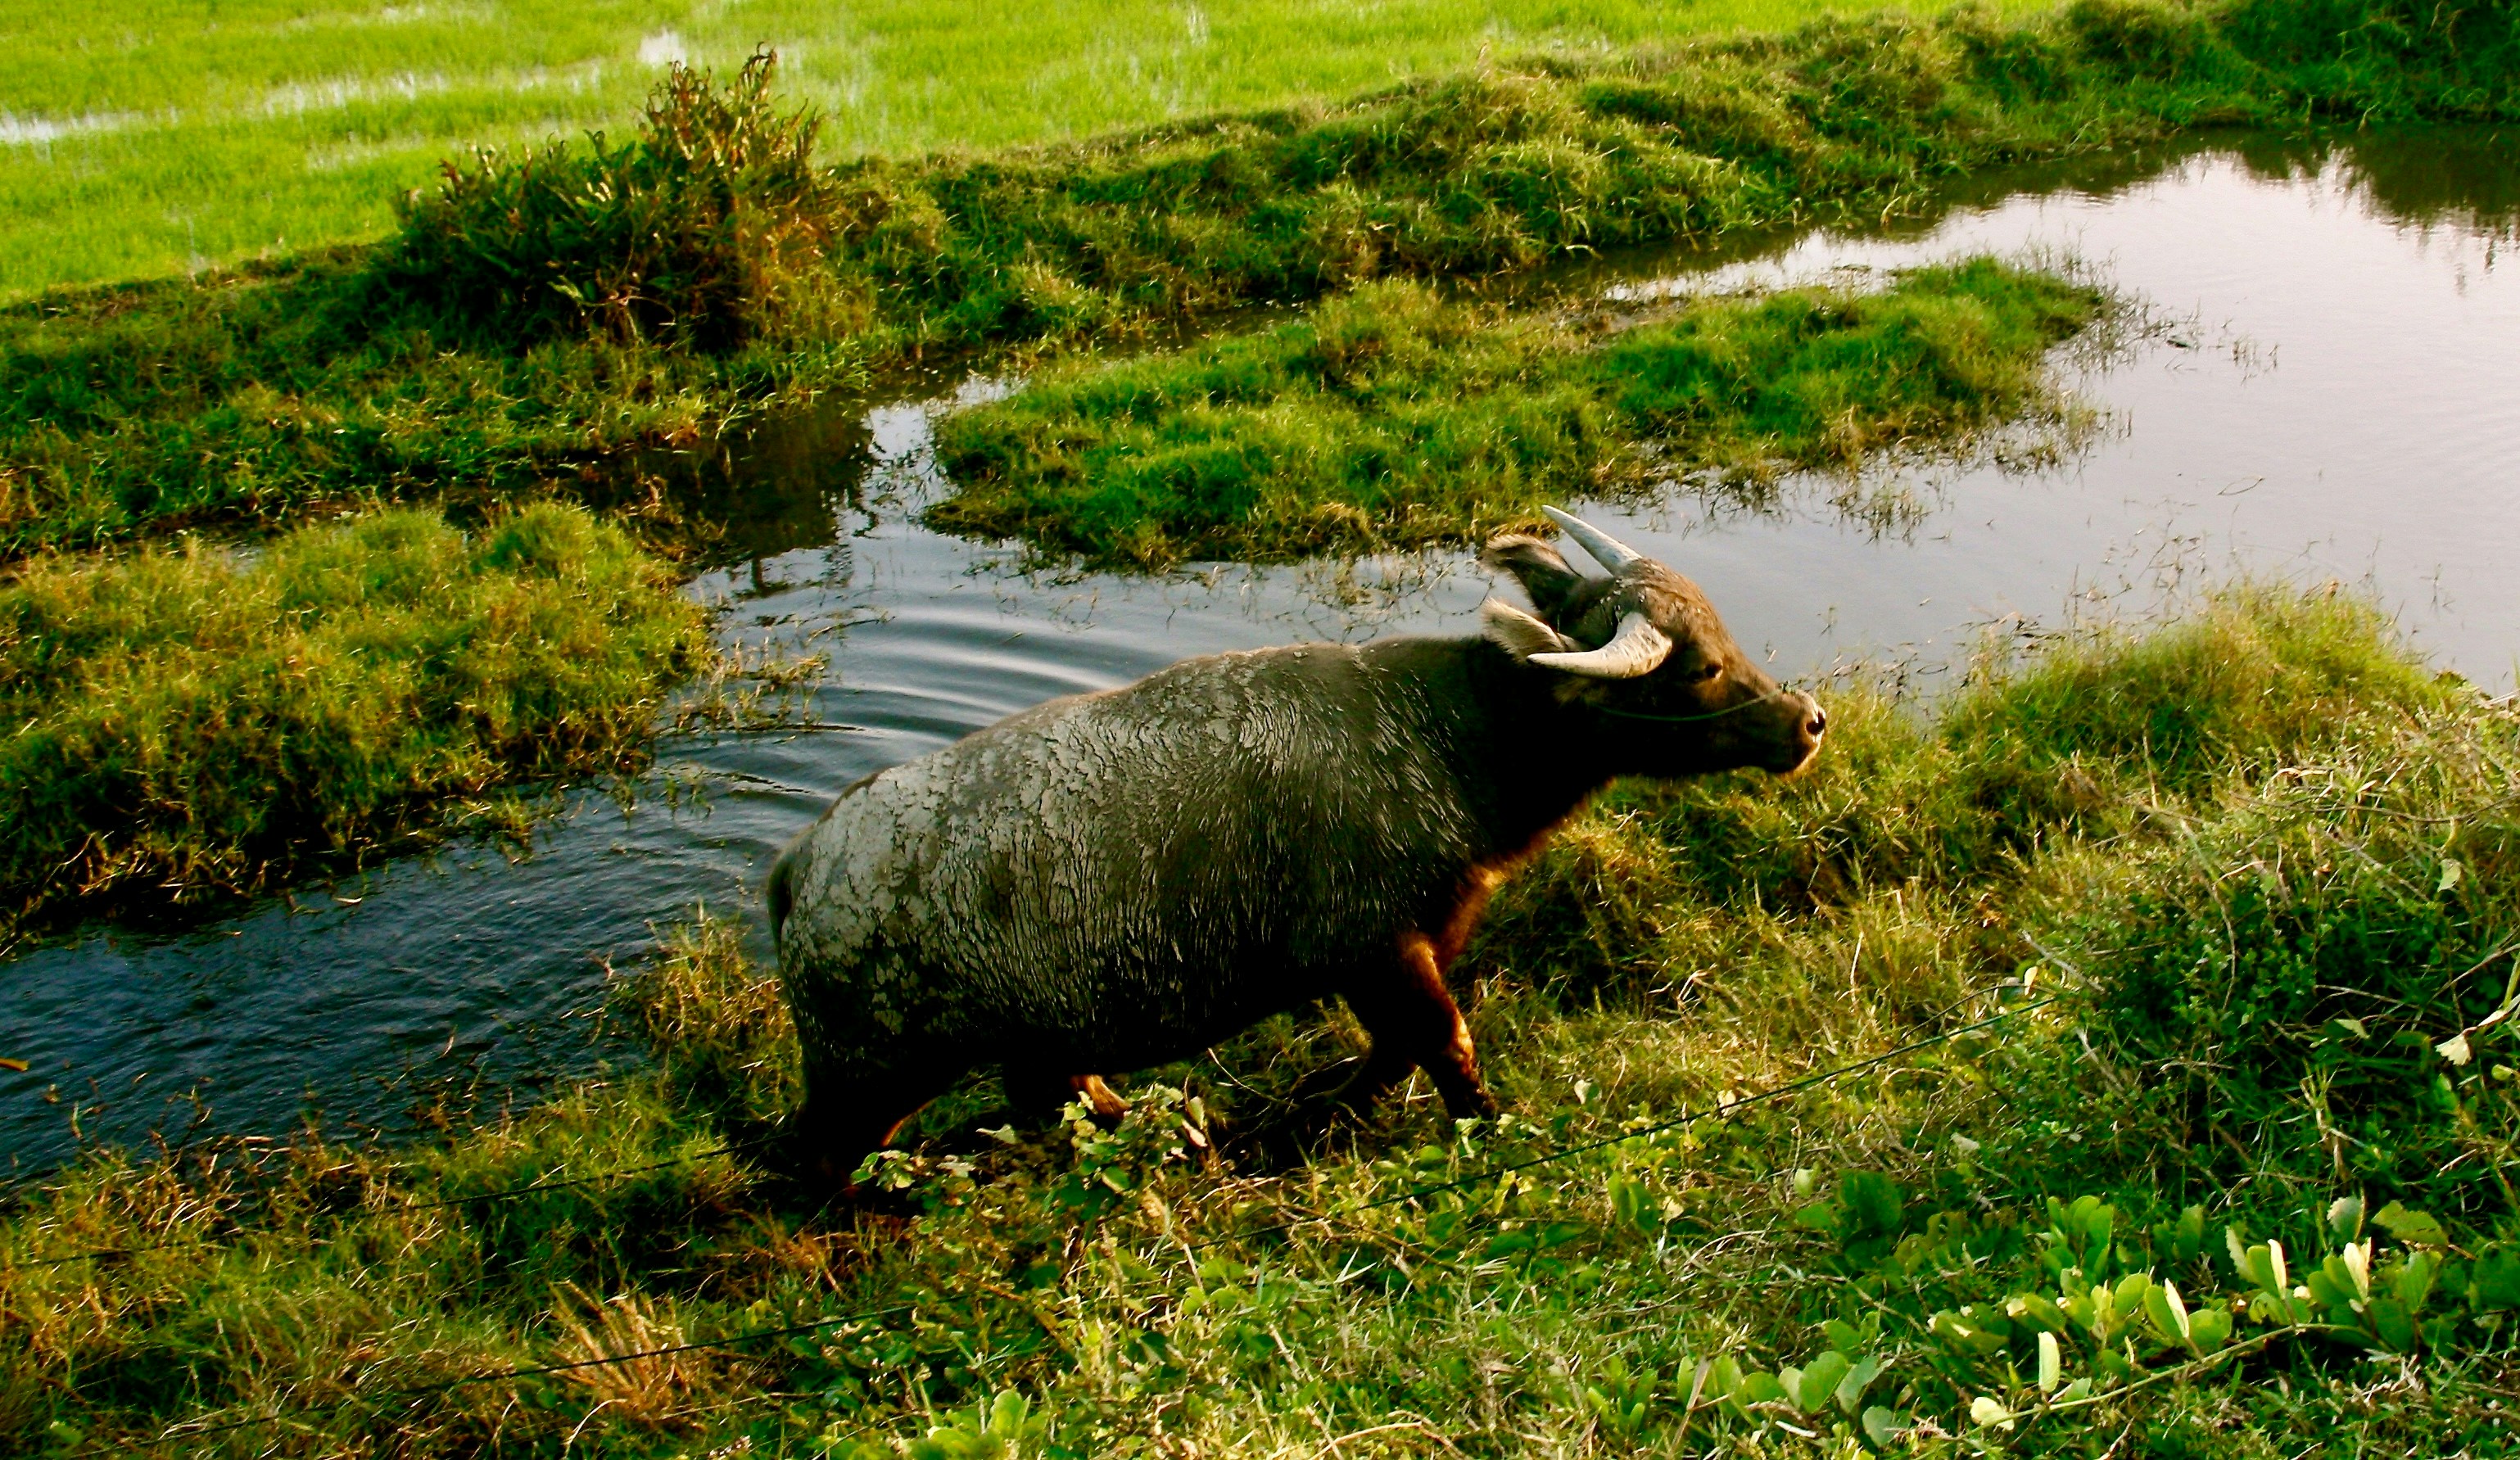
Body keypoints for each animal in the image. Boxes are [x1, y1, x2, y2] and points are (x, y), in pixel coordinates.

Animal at [766, 508, 1825, 1186]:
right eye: (1696, 667)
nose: (1806, 722)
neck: (1449, 735)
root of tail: (797, 871)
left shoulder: (1415, 945)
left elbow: (1392, 1054)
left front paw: (1300, 1117)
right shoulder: (1378, 952)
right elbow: (1443, 1044)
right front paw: (1486, 1125)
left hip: (1031, 1044)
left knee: (1059, 1101)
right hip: (866, 1073)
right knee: (810, 1163)